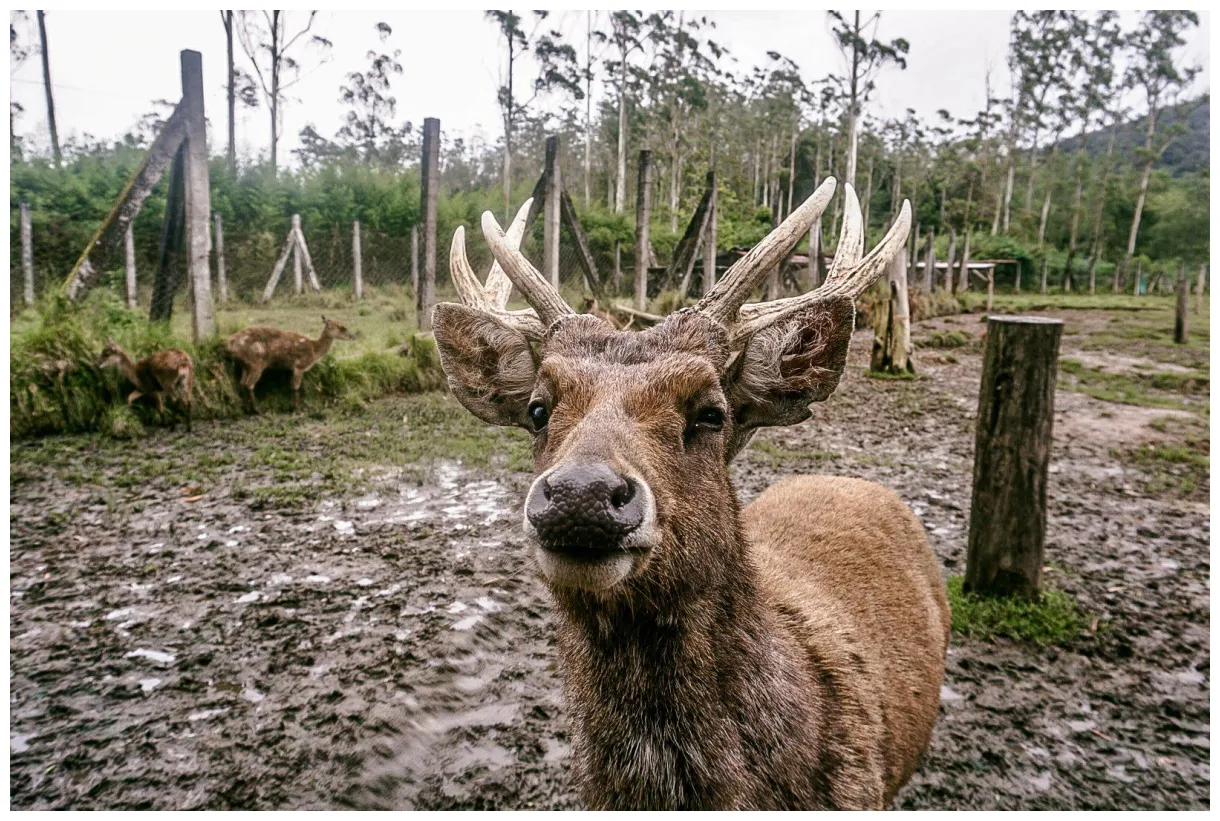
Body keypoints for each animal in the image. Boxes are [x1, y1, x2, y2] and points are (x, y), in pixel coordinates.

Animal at [226, 316, 354, 413]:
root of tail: (230, 343)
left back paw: (246, 409)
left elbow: (292, 386)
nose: (352, 336)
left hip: (245, 365)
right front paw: (297, 409)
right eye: (342, 327)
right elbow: (296, 387)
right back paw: (258, 410)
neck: (314, 350)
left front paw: (291, 407)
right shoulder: (299, 366)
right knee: (249, 384)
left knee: (242, 383)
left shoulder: (293, 369)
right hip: (256, 363)